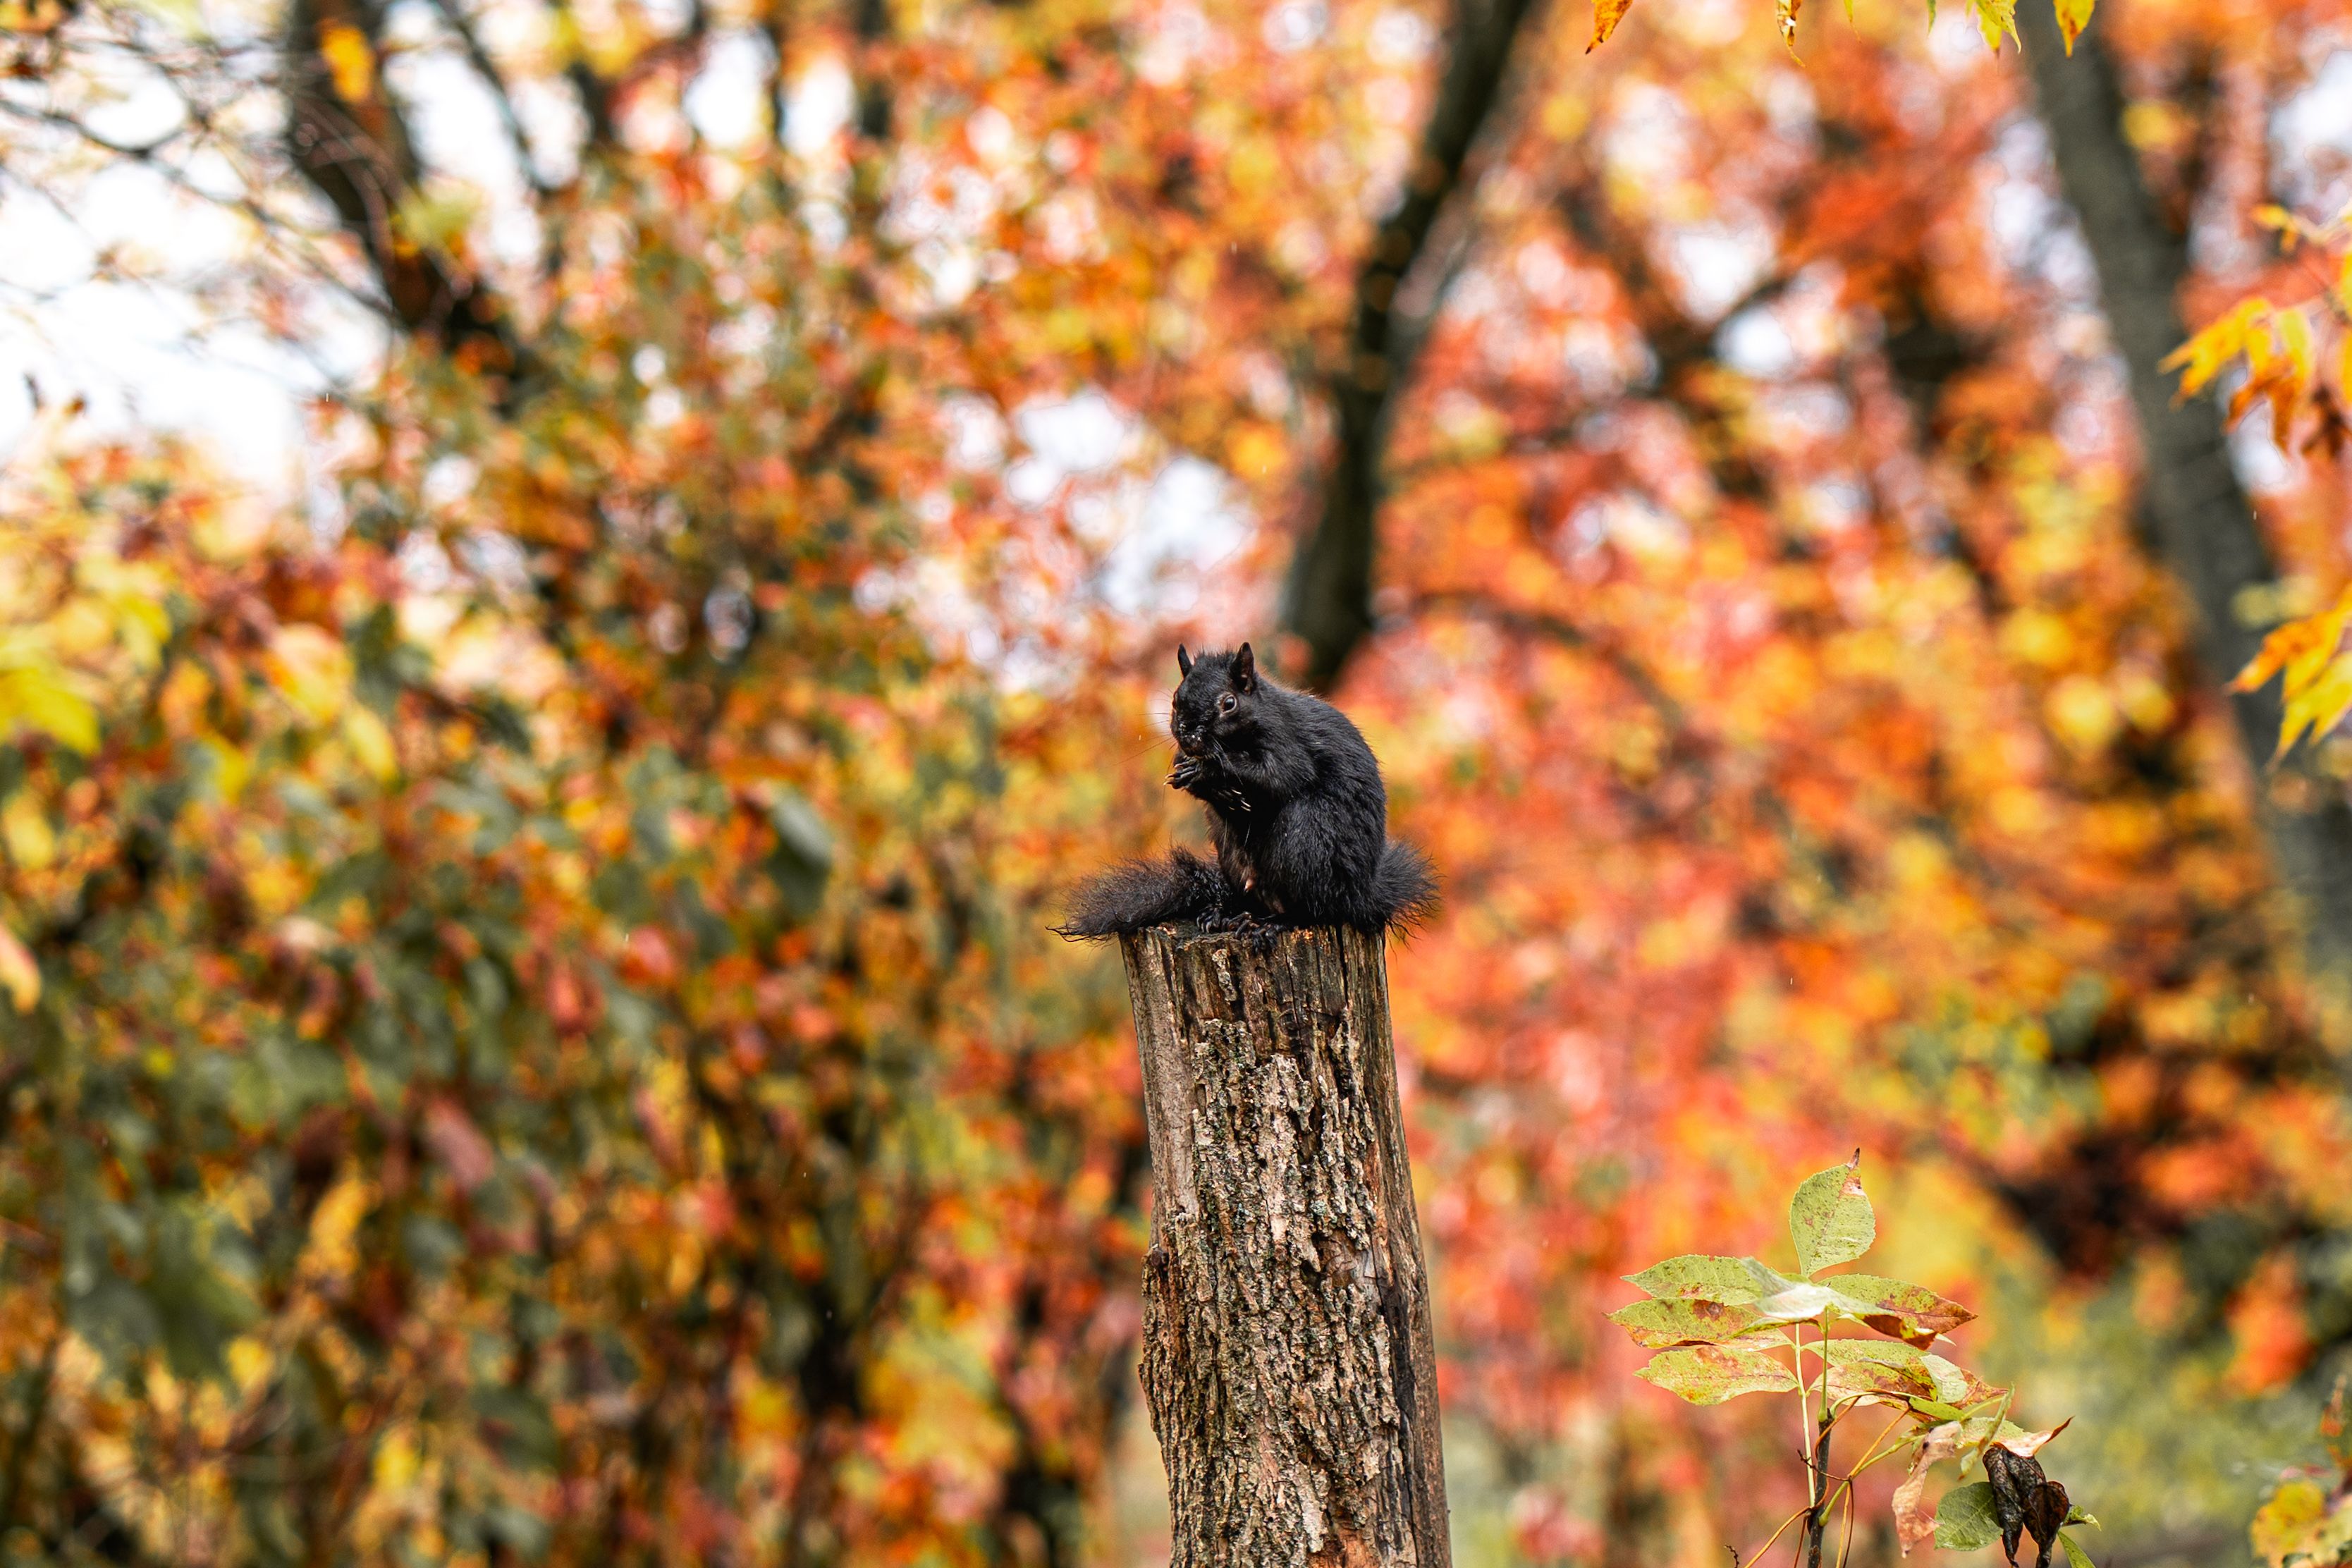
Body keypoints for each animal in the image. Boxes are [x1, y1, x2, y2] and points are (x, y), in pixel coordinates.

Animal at [1059, 642, 1438, 938]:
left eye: (1229, 703)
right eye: (1176, 699)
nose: (1188, 734)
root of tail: (1360, 896)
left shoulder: (1288, 745)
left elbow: (1279, 777)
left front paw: (1210, 772)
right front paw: (1193, 775)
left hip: (1306, 840)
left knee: (1313, 911)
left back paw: (1272, 923)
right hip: (1232, 855)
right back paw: (1223, 913)